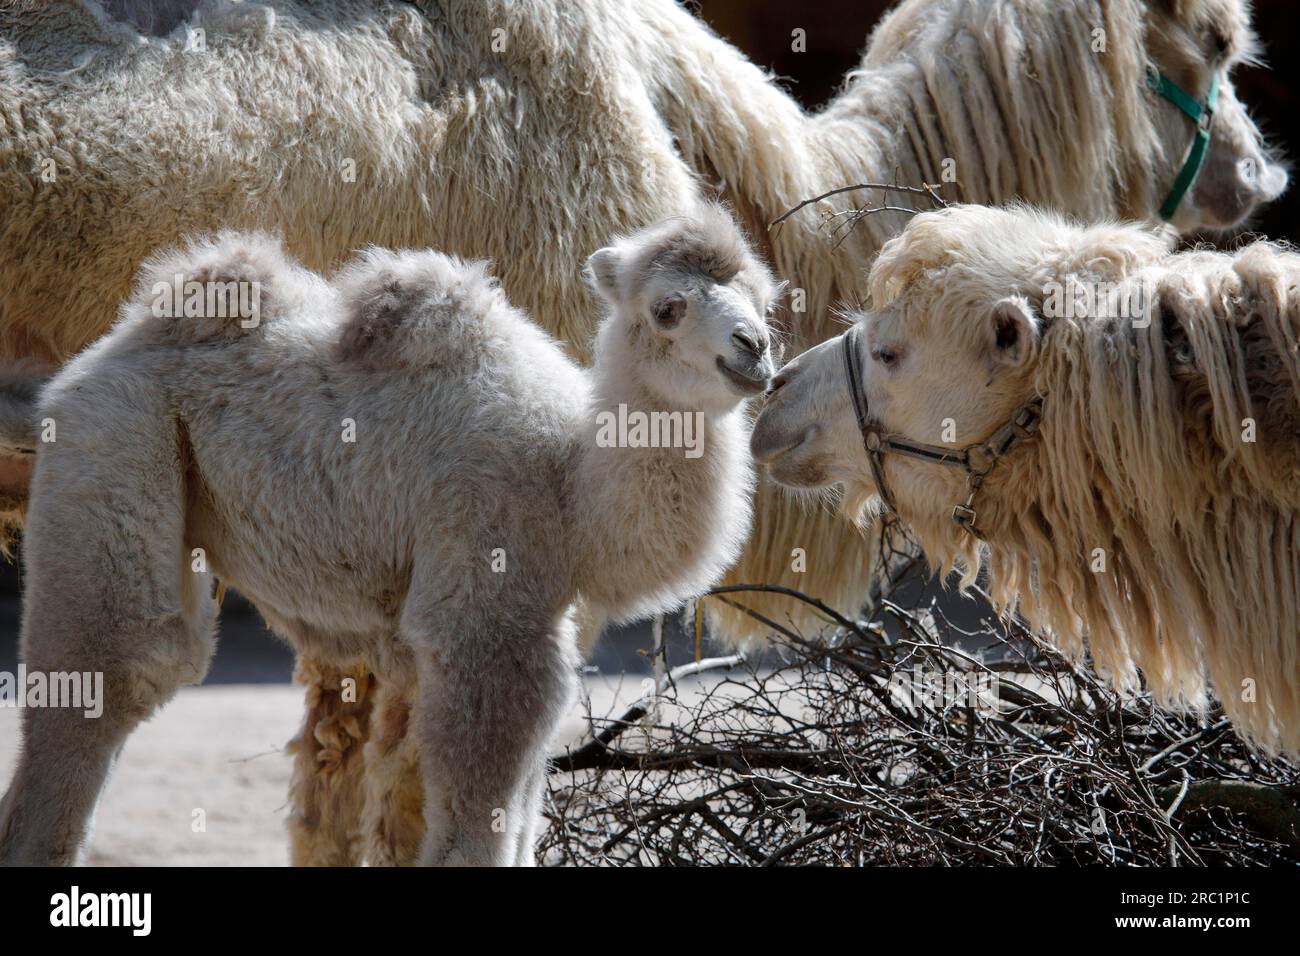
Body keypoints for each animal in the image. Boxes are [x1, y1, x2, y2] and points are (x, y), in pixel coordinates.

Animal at [0, 204, 779, 866]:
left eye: (765, 297)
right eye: (668, 308)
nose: (755, 349)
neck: (570, 491)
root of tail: (89, 363)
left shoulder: (547, 619)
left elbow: (523, 806)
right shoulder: (484, 609)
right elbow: (475, 810)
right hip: (116, 443)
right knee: (120, 666)